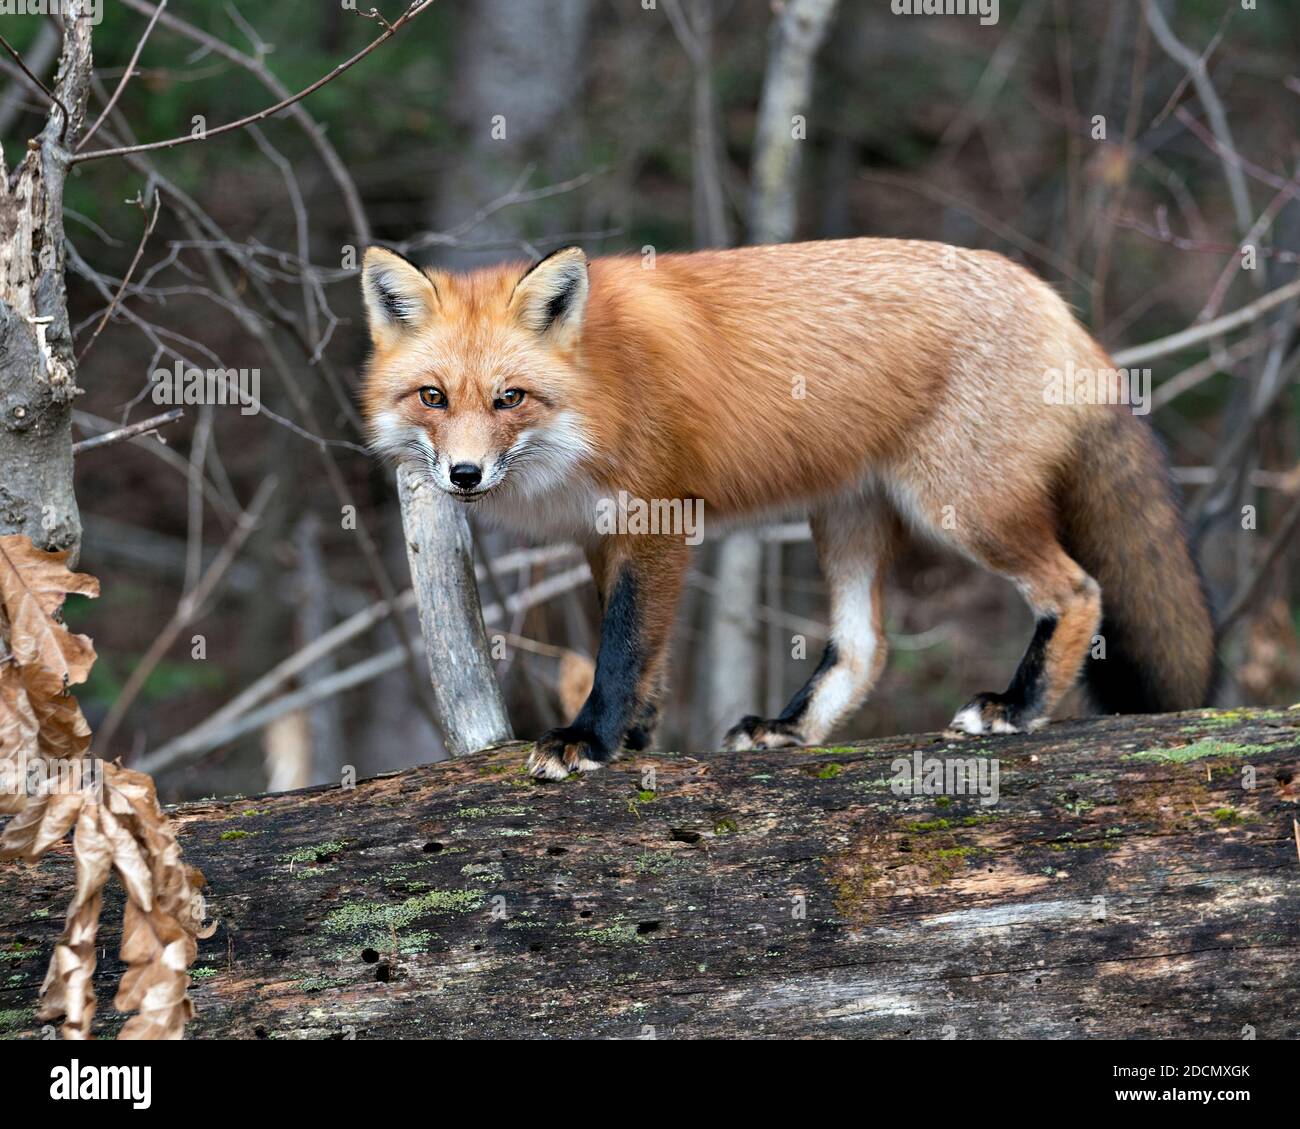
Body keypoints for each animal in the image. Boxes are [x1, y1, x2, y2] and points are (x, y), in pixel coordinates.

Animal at [360, 238, 1216, 781]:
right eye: (432, 397)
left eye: (510, 398)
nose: (464, 474)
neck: (600, 390)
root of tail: (1052, 300)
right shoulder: (602, 536)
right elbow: (647, 654)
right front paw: (634, 737)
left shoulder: (658, 517)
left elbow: (624, 644)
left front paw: (590, 740)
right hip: (847, 517)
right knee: (865, 646)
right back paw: (792, 728)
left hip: (962, 508)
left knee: (1077, 589)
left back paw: (1017, 706)